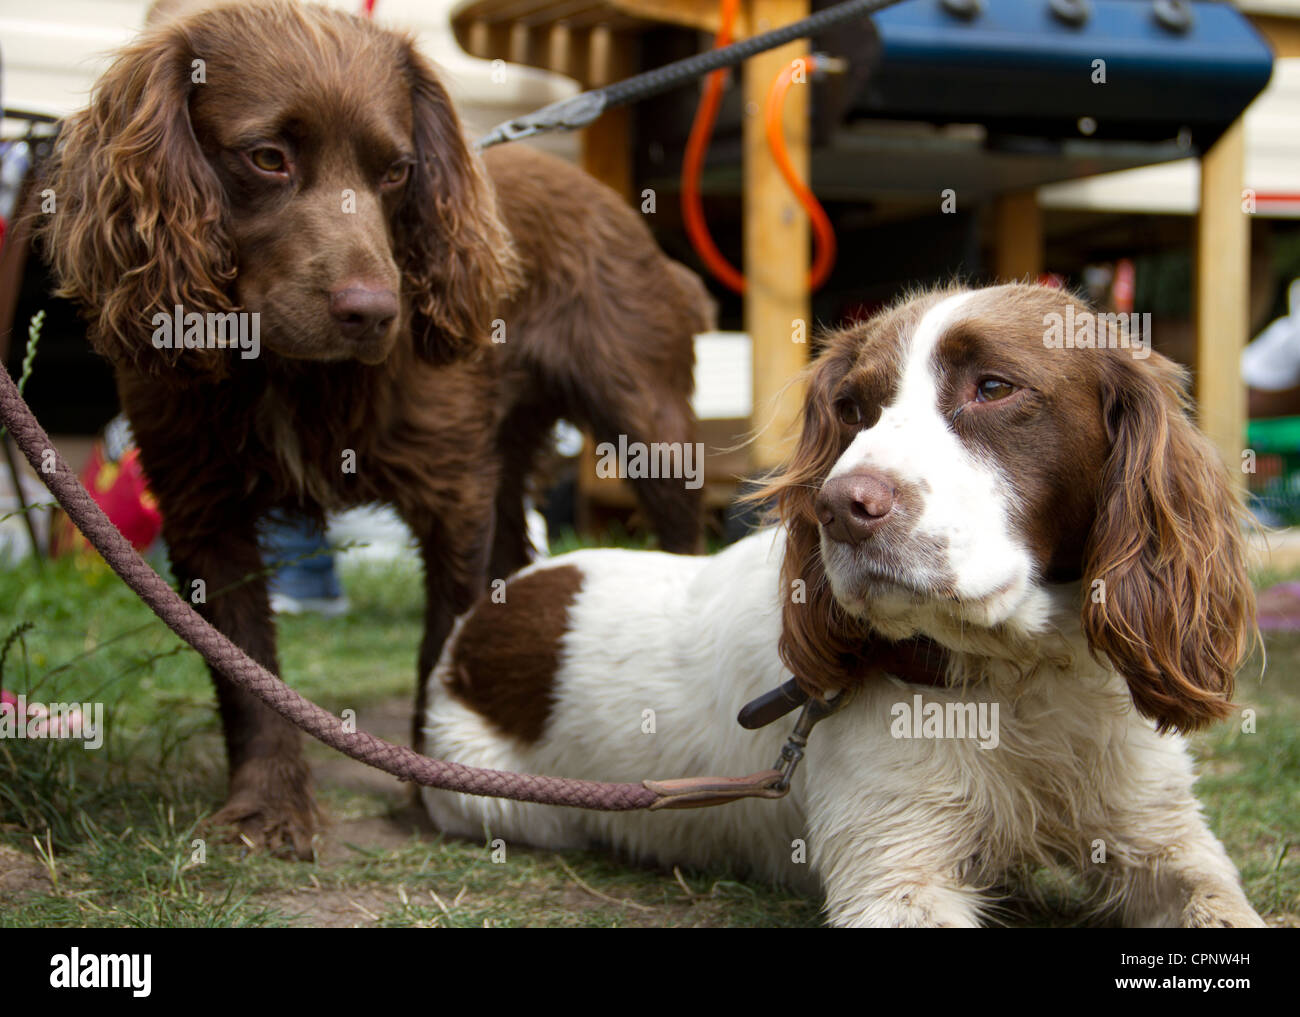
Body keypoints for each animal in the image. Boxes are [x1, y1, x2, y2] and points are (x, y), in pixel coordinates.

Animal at [421, 282, 1263, 925]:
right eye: (854, 408)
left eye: (994, 387)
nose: (841, 507)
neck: (1015, 678)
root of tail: (489, 611)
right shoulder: (895, 868)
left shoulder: (1163, 832)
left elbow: (1215, 897)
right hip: (494, 794)